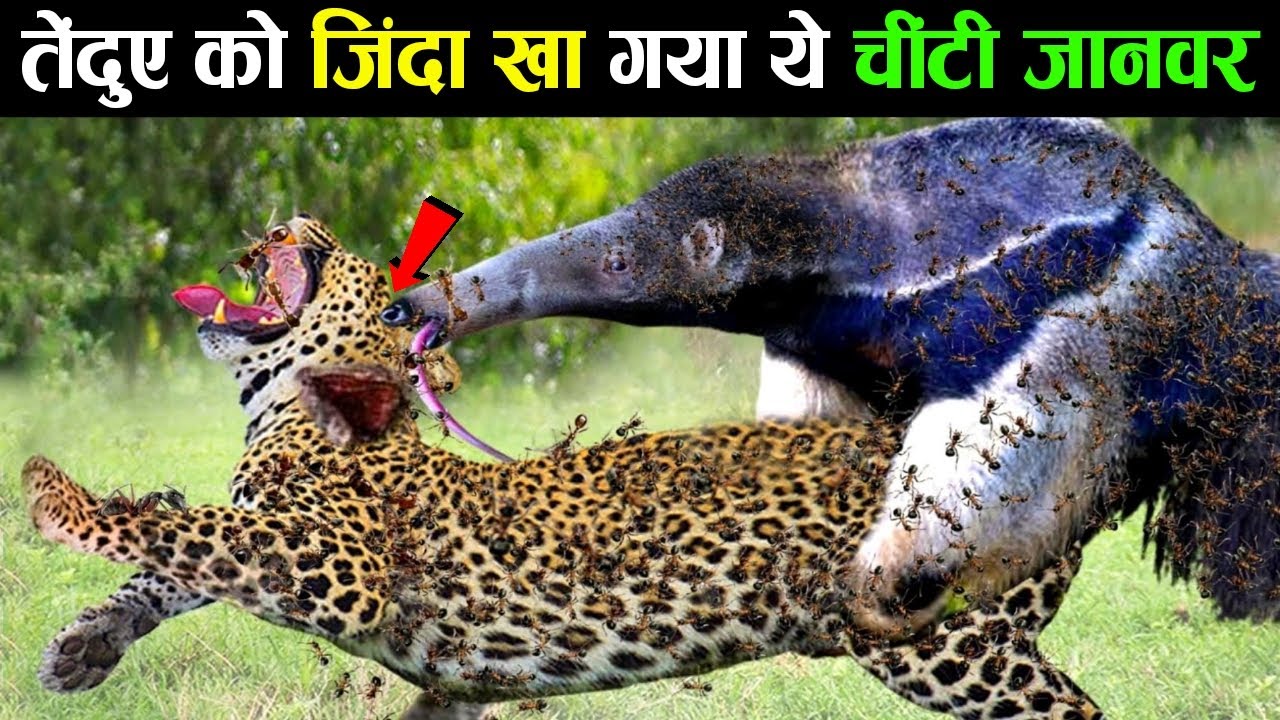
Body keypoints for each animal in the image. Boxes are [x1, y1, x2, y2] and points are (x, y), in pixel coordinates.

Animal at [22, 214, 1102, 720]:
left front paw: (59, 499)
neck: (281, 405)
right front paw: (86, 645)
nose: (298, 224)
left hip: (949, 647)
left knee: (1074, 707)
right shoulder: (285, 537)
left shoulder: (343, 567)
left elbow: (181, 528)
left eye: (351, 259)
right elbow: (182, 561)